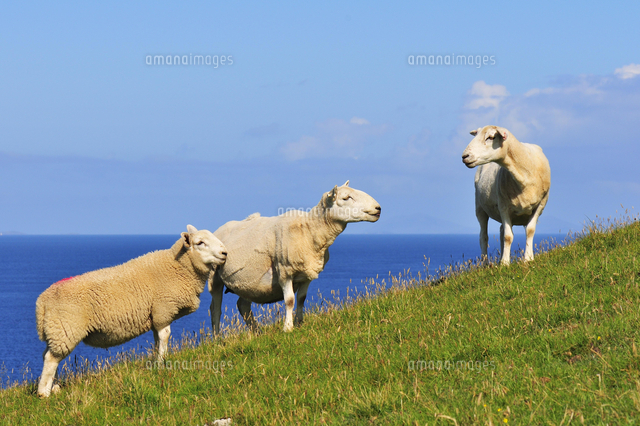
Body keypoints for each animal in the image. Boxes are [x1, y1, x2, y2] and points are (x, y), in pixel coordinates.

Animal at [35, 225, 227, 397]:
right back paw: (44, 393)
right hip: (66, 329)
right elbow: (165, 335)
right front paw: (162, 363)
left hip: (56, 331)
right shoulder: (163, 310)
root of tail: (42, 302)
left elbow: (157, 339)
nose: (225, 253)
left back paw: (55, 387)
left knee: (48, 356)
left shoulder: (154, 314)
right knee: (51, 359)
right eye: (200, 242)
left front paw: (155, 360)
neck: (178, 266)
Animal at [209, 181, 381, 334]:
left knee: (243, 305)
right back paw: (218, 339)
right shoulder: (284, 272)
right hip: (215, 277)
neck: (309, 230)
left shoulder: (306, 274)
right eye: (346, 198)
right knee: (215, 308)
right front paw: (288, 328)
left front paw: (299, 324)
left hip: (248, 283)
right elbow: (290, 300)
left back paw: (257, 333)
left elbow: (301, 299)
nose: (378, 208)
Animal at [462, 125, 551, 265]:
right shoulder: (503, 207)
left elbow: (530, 231)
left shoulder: (540, 205)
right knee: (483, 237)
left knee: (501, 230)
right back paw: (485, 263)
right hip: (480, 208)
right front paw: (505, 263)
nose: (465, 156)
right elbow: (508, 236)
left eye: (490, 137)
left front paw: (528, 259)